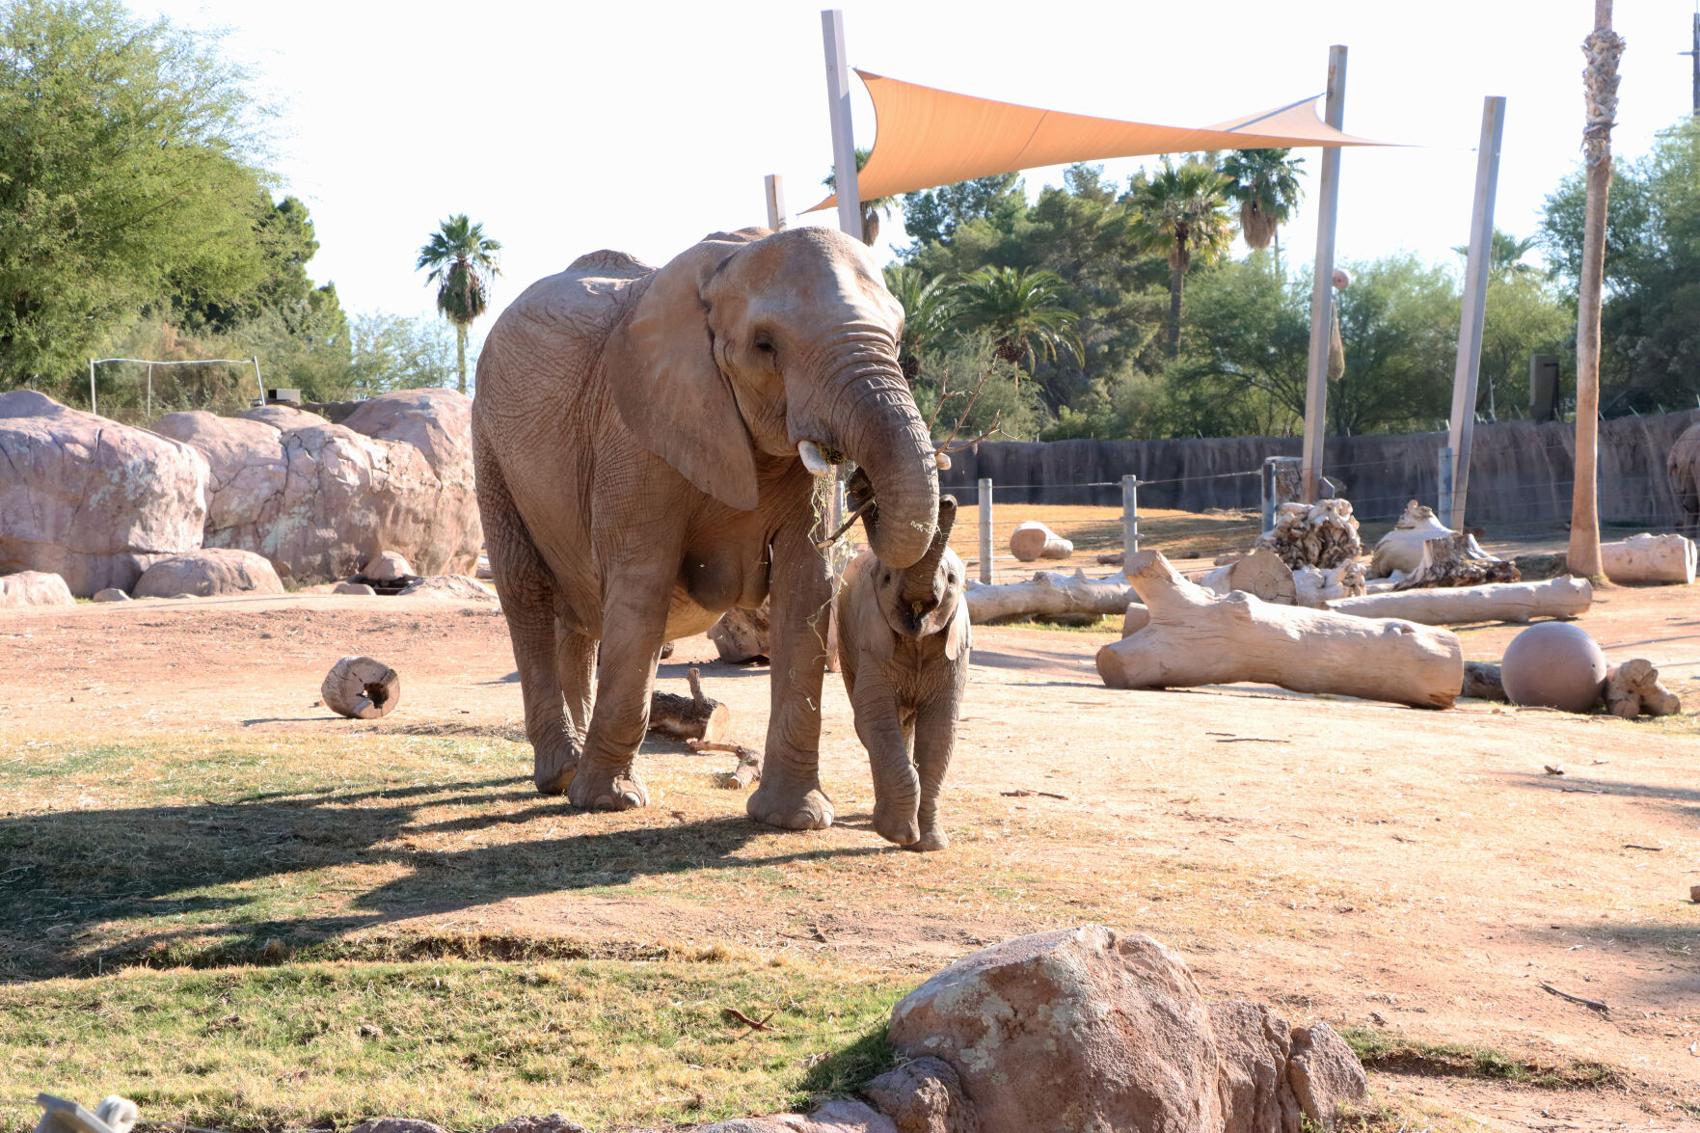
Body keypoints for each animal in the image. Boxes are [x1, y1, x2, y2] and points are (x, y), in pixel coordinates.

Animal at [471, 226, 941, 830]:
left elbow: (805, 593)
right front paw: (611, 801)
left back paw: (566, 770)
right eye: (765, 345)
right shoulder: (634, 433)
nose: (861, 487)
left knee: (577, 616)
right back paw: (562, 775)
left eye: (899, 337)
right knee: (526, 590)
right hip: (490, 444)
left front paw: (794, 819)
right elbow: (642, 588)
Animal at [835, 485, 969, 850]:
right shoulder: (871, 640)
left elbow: (940, 729)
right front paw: (898, 834)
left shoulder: (952, 651)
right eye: (886, 579)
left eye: (952, 579)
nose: (947, 501)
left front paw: (931, 844)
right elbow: (875, 717)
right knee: (872, 724)